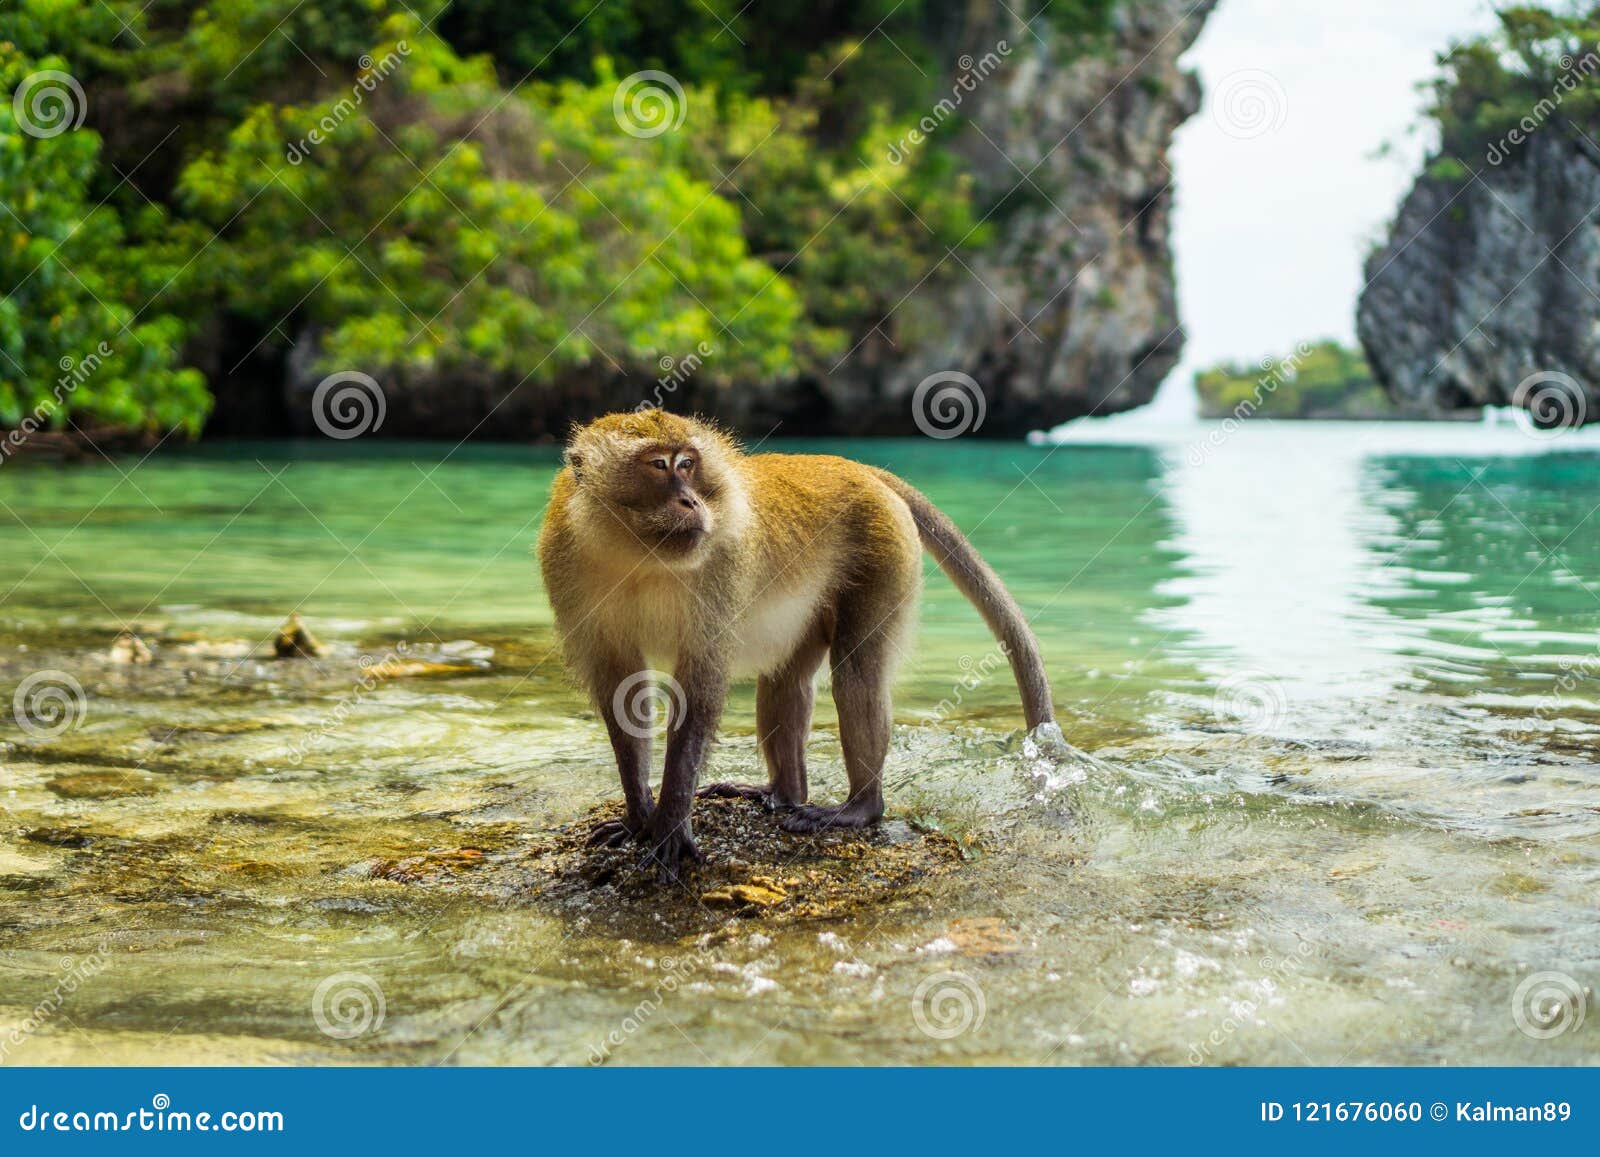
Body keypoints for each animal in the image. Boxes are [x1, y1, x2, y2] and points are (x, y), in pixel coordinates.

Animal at [537, 409, 1056, 883]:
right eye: (658, 465)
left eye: (686, 463)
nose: (690, 500)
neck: (638, 556)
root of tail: (858, 467)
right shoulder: (566, 562)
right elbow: (621, 692)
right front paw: (638, 816)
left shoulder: (720, 569)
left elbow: (699, 690)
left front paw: (670, 826)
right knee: (786, 680)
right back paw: (783, 792)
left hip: (884, 553)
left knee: (856, 677)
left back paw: (860, 807)